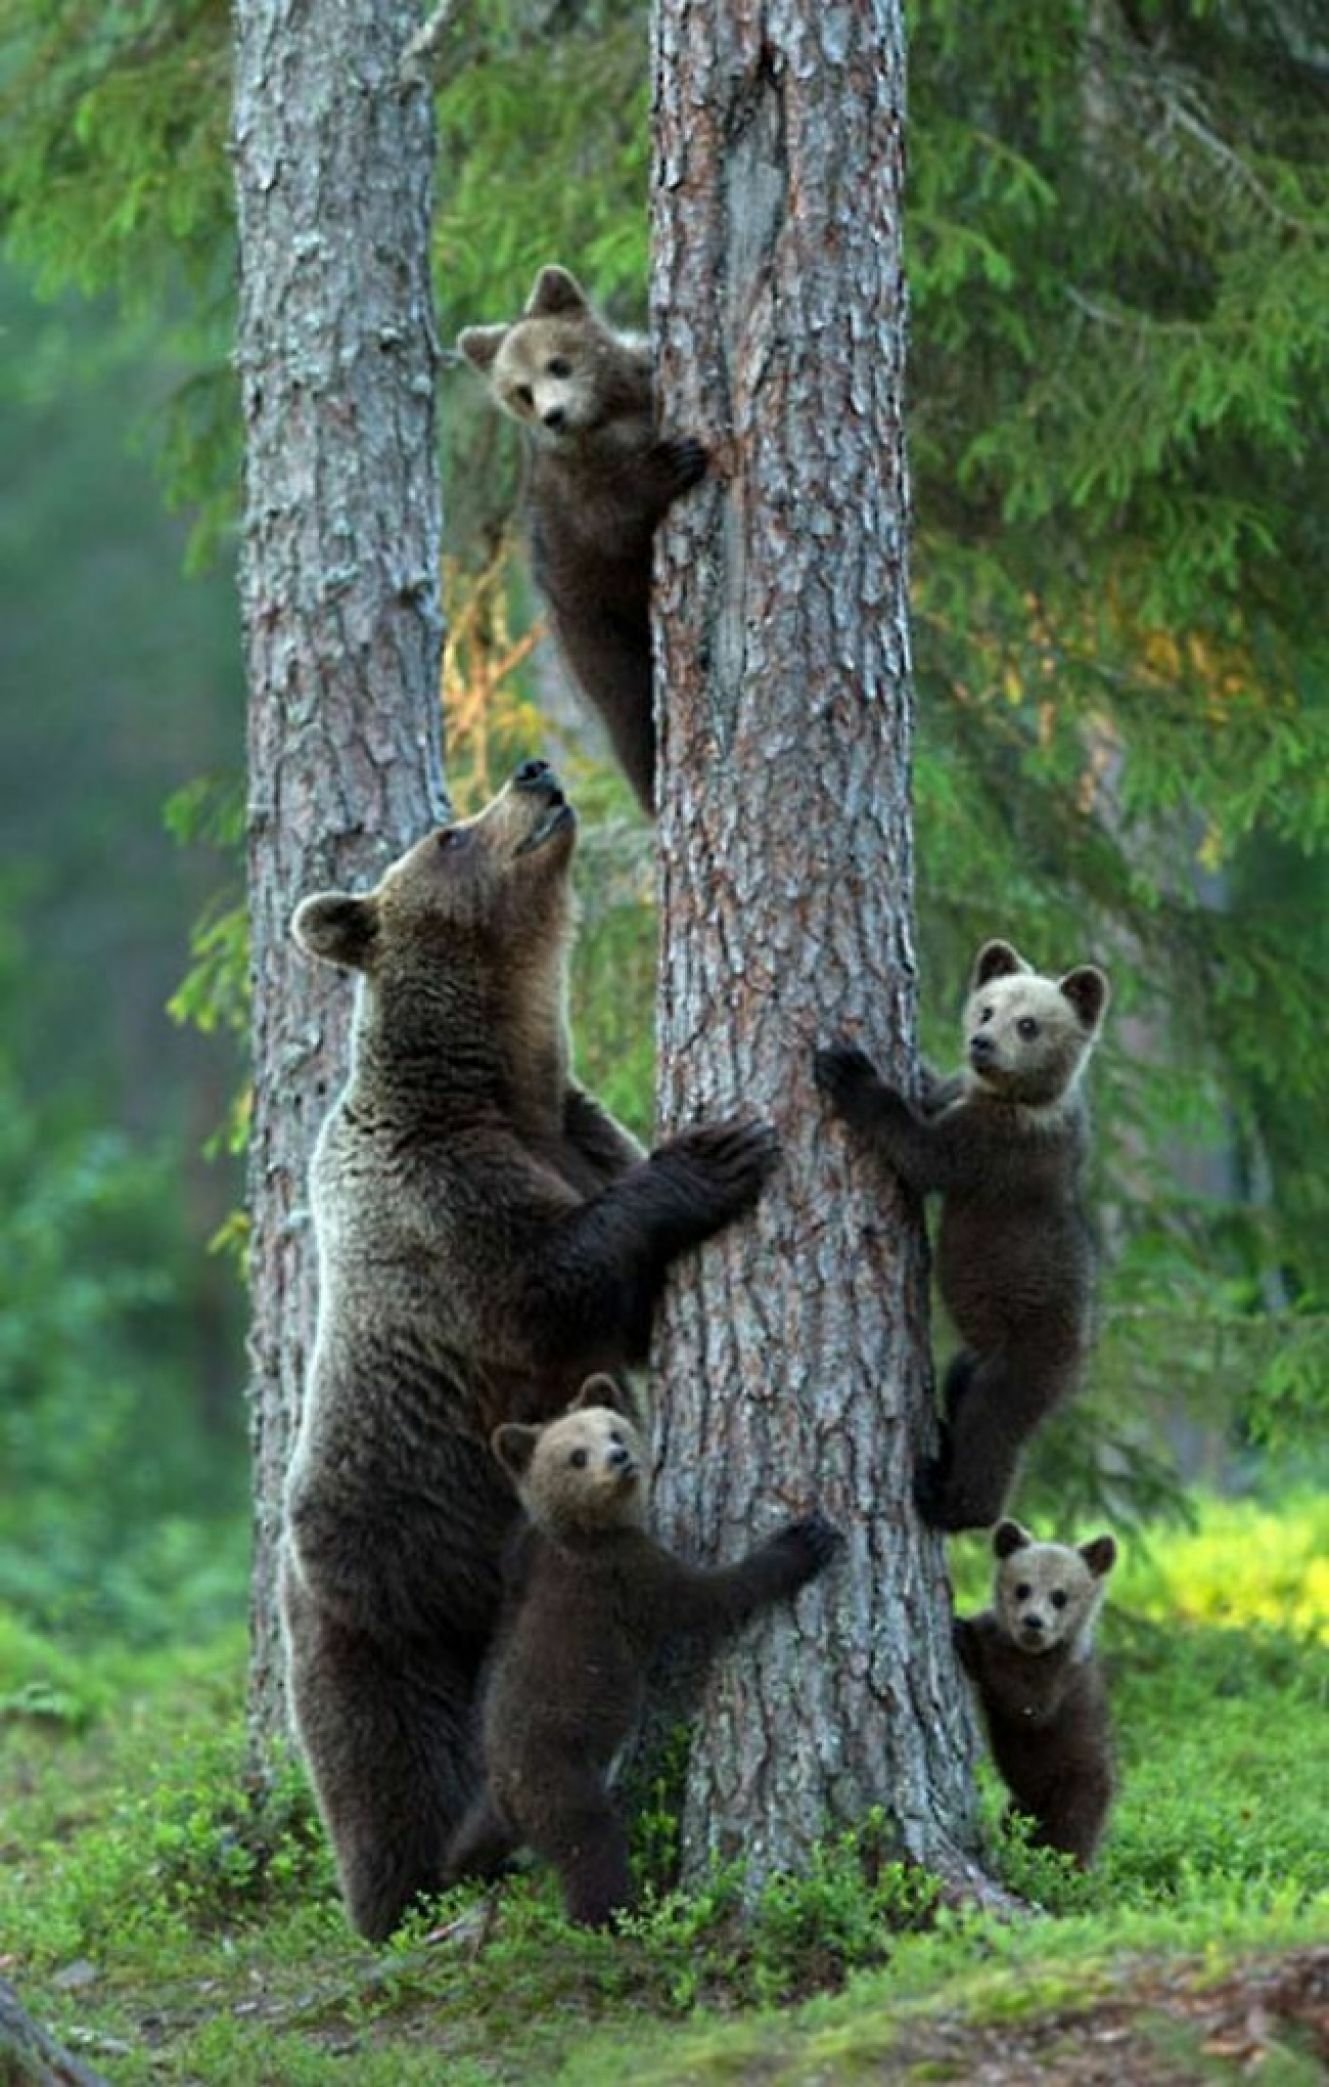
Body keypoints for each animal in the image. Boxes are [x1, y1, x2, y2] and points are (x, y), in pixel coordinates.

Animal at [280, 759, 780, 1942]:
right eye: (448, 832)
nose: (534, 769)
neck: (499, 1079)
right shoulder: (438, 1195)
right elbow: (549, 1281)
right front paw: (717, 1152)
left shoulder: (572, 1131)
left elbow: (622, 1300)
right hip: (384, 1599)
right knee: (387, 1764)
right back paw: (408, 1890)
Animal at [444, 1379, 842, 1927]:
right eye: (576, 1455)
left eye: (613, 1430)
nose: (620, 1459)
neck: (581, 1529)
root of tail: (510, 1794)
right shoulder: (626, 1572)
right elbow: (708, 1596)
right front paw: (802, 1542)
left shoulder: (526, 1556)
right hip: (559, 1773)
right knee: (589, 1845)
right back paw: (614, 1915)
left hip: (493, 1800)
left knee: (469, 1840)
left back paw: (466, 1874)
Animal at [457, 264, 706, 816]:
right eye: (521, 390)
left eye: (558, 364)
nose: (554, 415)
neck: (609, 415)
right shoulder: (575, 489)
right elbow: (611, 520)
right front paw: (675, 462)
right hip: (596, 634)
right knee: (630, 717)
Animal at [815, 938, 1110, 1532]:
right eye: (986, 1008)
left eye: (1028, 1024)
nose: (981, 1043)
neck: (1019, 1098)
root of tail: (1079, 1362)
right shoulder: (968, 1100)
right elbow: (934, 1094)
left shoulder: (995, 1150)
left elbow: (921, 1152)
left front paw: (850, 1071)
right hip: (978, 1354)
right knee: (960, 1383)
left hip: (1029, 1353)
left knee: (993, 1427)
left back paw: (950, 1501)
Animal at [954, 1518, 1118, 1868]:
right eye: (1022, 1588)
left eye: (1060, 1596)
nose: (1033, 1622)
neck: (1029, 1652)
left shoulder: (1057, 1679)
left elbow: (1026, 1705)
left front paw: (966, 1636)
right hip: (1022, 1803)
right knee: (1013, 1821)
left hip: (1078, 1786)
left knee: (1069, 1839)